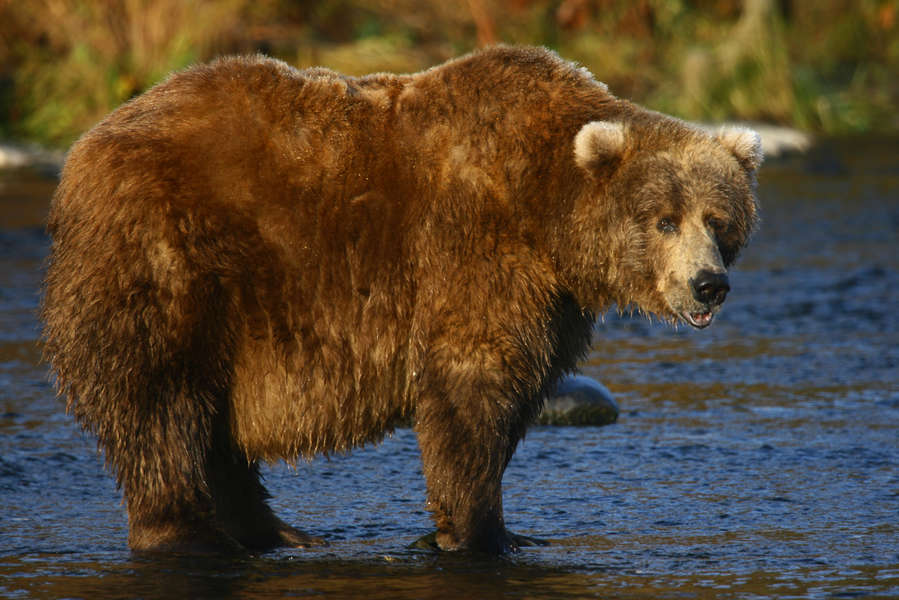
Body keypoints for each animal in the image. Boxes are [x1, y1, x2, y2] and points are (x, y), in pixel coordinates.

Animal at [41, 45, 761, 555]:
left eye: (718, 219)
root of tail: (84, 147)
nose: (708, 283)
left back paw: (275, 531)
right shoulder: (472, 251)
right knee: (162, 398)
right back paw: (190, 532)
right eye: (664, 219)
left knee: (210, 422)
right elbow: (470, 385)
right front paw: (480, 531)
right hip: (171, 258)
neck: (546, 212)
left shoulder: (551, 302)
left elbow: (519, 388)